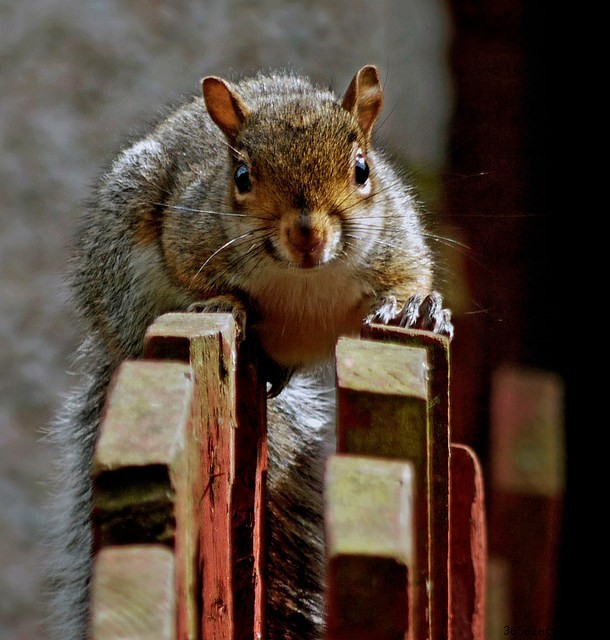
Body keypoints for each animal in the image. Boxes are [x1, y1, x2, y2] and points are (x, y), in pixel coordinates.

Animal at [44, 65, 452, 640]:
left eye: (362, 169)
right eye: (241, 177)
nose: (307, 236)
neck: (303, 277)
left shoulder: (399, 238)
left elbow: (411, 278)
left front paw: (417, 310)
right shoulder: (188, 232)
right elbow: (194, 274)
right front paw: (222, 300)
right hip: (125, 249)